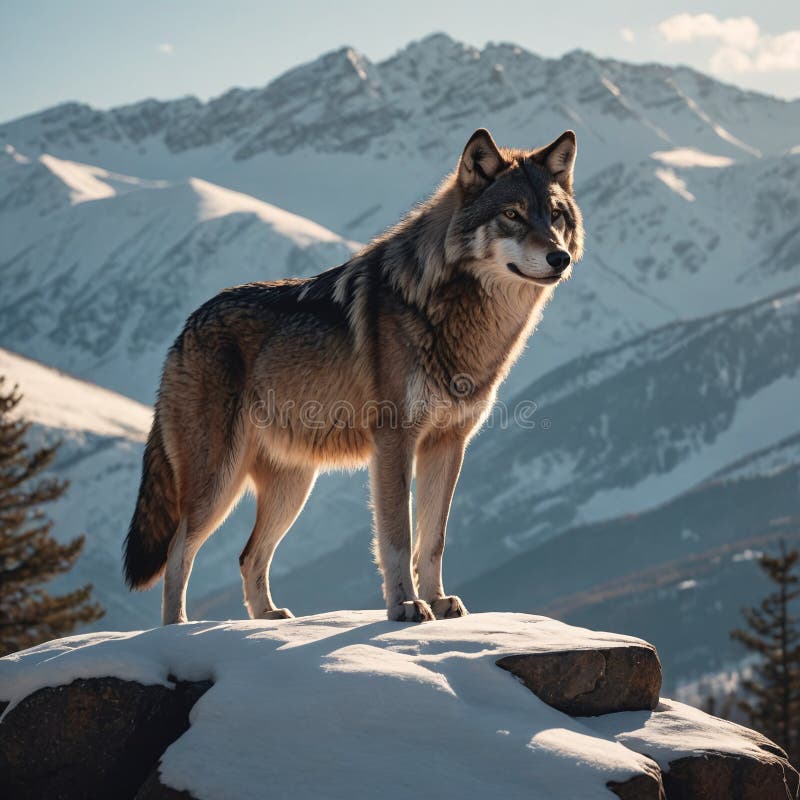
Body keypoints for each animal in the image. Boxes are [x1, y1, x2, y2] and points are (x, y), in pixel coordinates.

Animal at [124, 128, 584, 624]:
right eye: (512, 215)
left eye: (555, 215)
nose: (558, 257)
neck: (454, 314)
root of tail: (187, 326)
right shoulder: (395, 441)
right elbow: (398, 538)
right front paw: (405, 605)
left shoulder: (448, 443)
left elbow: (433, 540)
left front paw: (439, 600)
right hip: (218, 481)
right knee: (178, 552)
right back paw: (177, 630)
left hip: (293, 486)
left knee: (249, 556)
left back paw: (269, 618)